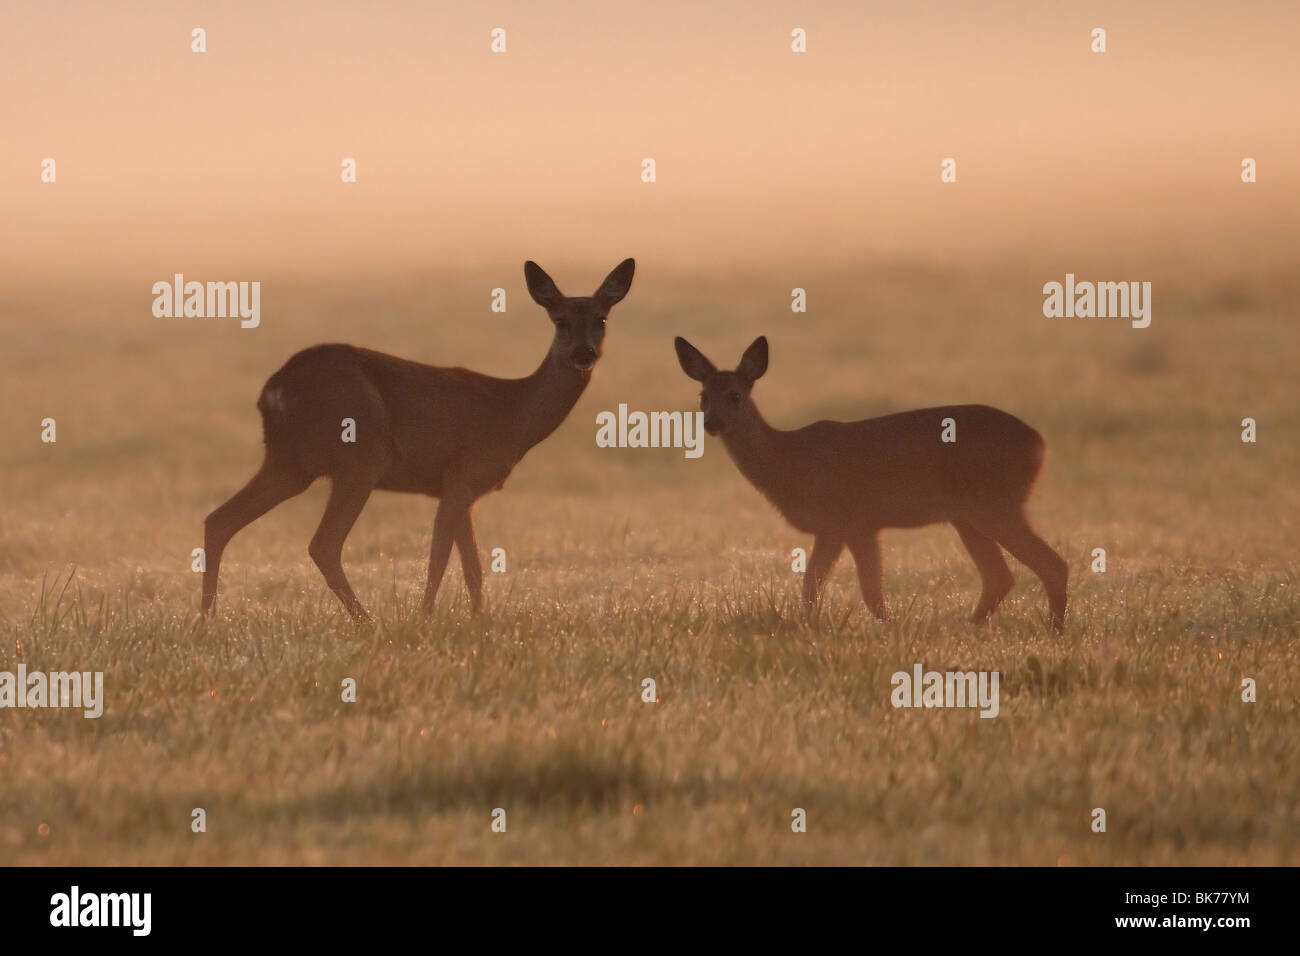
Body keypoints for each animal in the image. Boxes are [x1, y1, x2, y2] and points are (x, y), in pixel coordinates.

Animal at [201, 258, 636, 621]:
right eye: (560, 321)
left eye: (601, 319)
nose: (583, 354)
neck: (513, 414)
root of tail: (273, 390)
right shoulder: (462, 474)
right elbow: (440, 559)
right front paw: (425, 619)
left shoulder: (460, 489)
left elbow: (472, 567)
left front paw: (479, 621)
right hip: (360, 455)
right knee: (323, 543)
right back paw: (369, 623)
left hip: (289, 462)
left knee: (219, 520)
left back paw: (207, 619)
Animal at [673, 335, 1068, 630]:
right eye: (703, 397)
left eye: (735, 395)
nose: (712, 423)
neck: (790, 462)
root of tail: (1041, 444)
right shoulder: (850, 527)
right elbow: (835, 588)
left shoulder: (846, 519)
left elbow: (848, 588)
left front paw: (872, 627)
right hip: (967, 515)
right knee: (1000, 576)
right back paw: (973, 626)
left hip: (994, 502)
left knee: (1051, 564)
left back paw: (1053, 629)